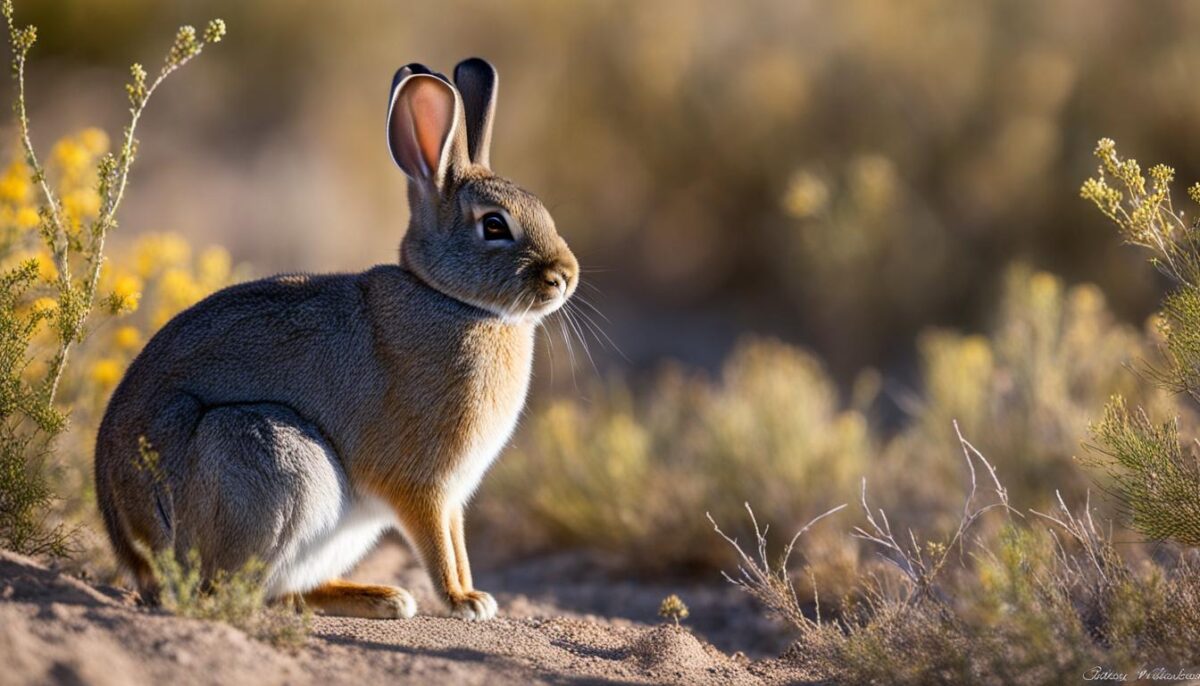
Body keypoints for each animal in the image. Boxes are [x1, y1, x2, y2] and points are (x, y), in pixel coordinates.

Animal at [93, 57, 578, 621]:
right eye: (495, 226)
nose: (566, 276)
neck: (450, 298)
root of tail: (135, 547)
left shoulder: (454, 496)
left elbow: (457, 545)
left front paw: (473, 595)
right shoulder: (422, 485)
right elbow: (436, 546)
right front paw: (464, 602)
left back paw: (382, 597)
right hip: (269, 456)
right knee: (232, 590)